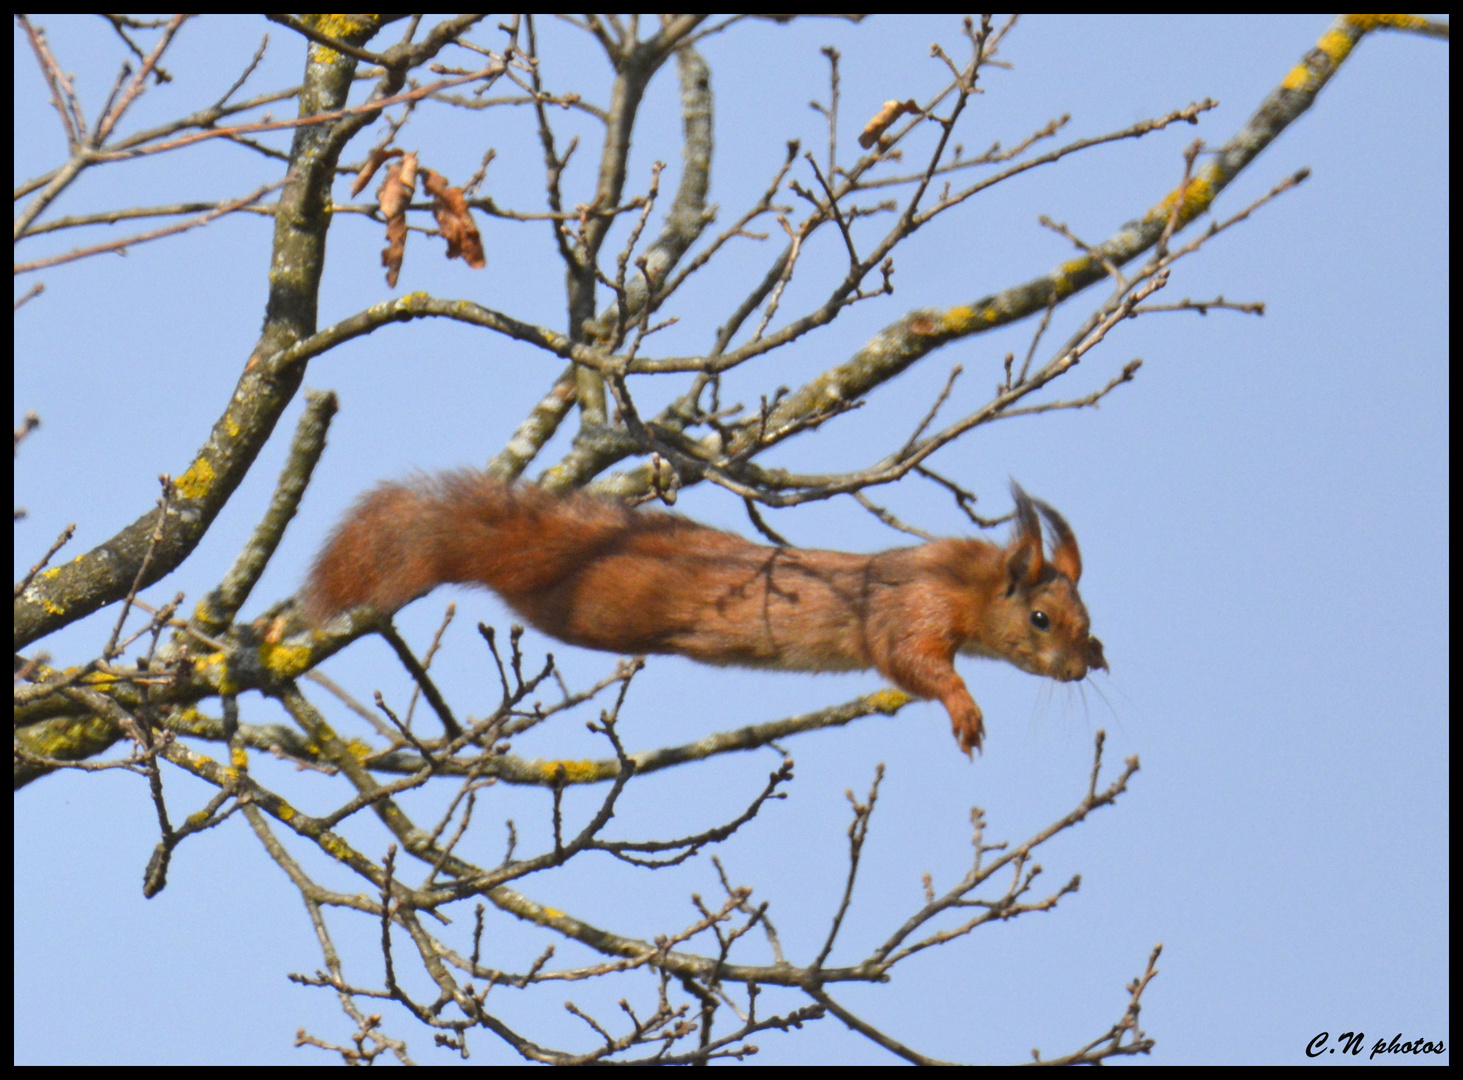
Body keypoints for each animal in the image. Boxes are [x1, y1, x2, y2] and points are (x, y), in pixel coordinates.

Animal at [303, 472, 1107, 755]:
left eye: (1086, 617)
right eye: (1041, 619)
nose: (1078, 668)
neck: (968, 585)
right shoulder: (913, 607)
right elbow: (907, 659)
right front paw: (962, 708)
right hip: (593, 611)